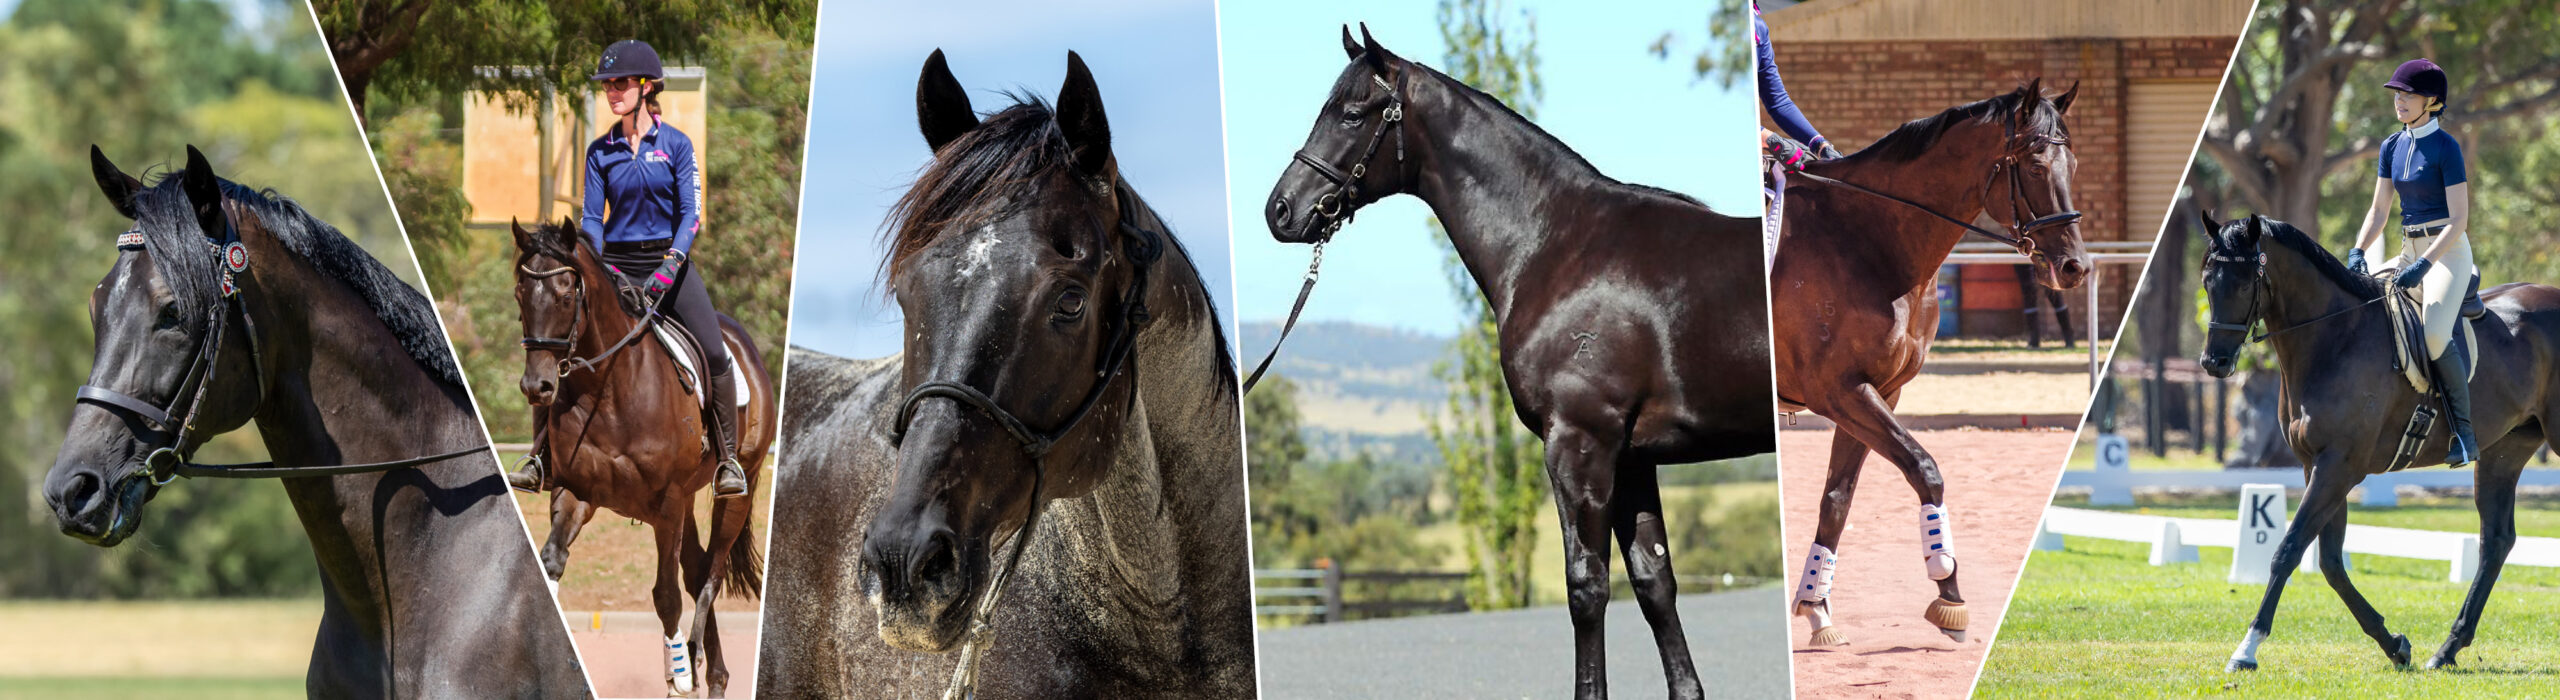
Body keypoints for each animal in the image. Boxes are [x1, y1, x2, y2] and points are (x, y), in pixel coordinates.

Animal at [510, 218, 774, 697]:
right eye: (521, 294)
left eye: (565, 295)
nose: (537, 387)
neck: (609, 388)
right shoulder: (577, 491)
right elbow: (551, 561)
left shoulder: (666, 503)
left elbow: (666, 596)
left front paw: (680, 677)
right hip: (686, 502)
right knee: (697, 570)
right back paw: (711, 674)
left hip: (735, 489)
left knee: (710, 575)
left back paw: (693, 661)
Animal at [1259, 27, 1773, 699]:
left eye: (1350, 113)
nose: (1281, 210)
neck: (1558, 247)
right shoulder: (1633, 458)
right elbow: (1654, 584)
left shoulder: (1580, 444)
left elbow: (1586, 587)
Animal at [1769, 80, 2090, 648]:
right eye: (2034, 167)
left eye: (2070, 166)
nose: (2075, 267)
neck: (1865, 239)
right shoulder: (1840, 390)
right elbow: (1925, 469)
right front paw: (1950, 594)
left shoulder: (1880, 390)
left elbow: (1837, 498)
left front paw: (1817, 607)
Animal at [2196, 212, 2560, 671]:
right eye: (2207, 281)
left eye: (2245, 285)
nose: (2215, 363)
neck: (2334, 337)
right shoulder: (2319, 466)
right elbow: (2330, 562)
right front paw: (2395, 645)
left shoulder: (2339, 467)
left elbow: (2289, 549)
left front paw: (2247, 649)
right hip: (2503, 452)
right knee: (2495, 541)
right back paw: (2447, 649)